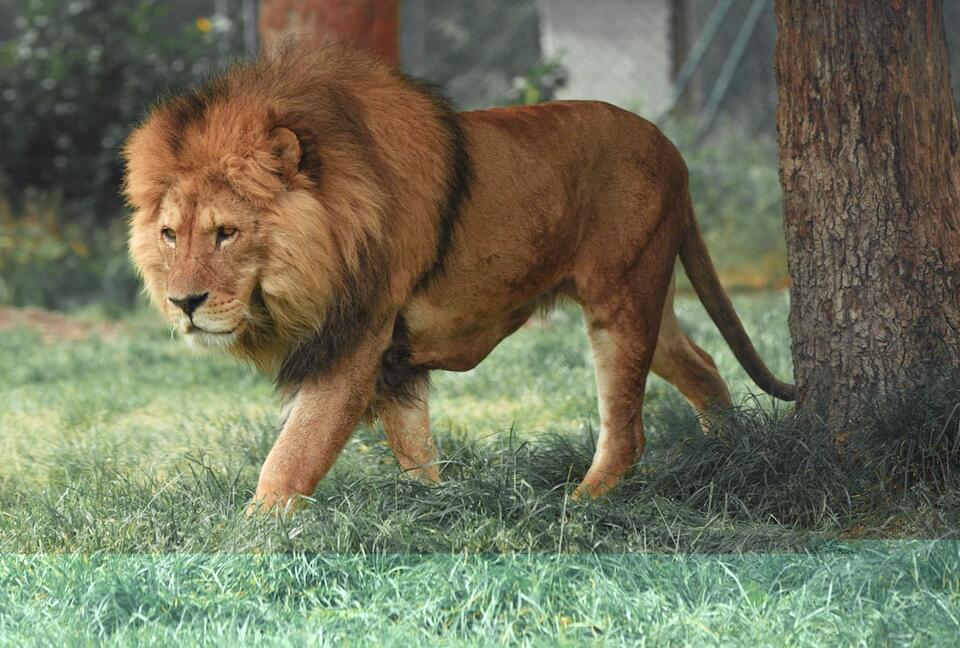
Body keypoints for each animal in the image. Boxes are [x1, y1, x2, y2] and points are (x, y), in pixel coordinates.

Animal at [123, 41, 794, 510]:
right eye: (170, 235)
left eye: (226, 233)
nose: (184, 303)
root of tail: (672, 149)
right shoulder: (391, 360)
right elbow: (414, 449)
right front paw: (438, 508)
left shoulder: (356, 341)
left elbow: (292, 456)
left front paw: (248, 538)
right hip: (647, 291)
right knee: (701, 363)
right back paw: (728, 455)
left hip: (622, 296)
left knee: (627, 429)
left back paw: (578, 507)